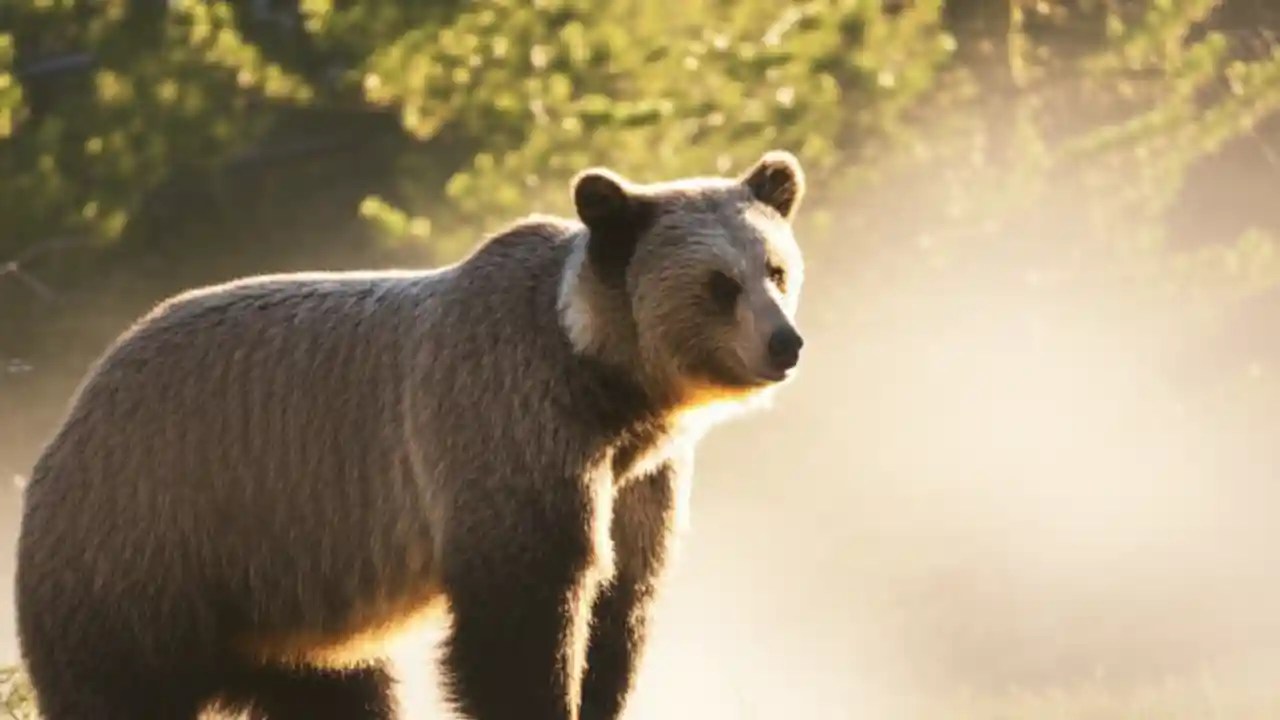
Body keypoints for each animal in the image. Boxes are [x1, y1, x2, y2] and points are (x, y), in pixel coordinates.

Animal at [14, 150, 808, 720]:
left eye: (776, 270)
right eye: (719, 285)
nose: (786, 343)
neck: (602, 386)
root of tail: (71, 414)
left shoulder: (642, 476)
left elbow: (622, 600)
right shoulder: (505, 425)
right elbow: (521, 612)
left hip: (288, 618)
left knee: (343, 698)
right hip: (151, 549)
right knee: (115, 689)